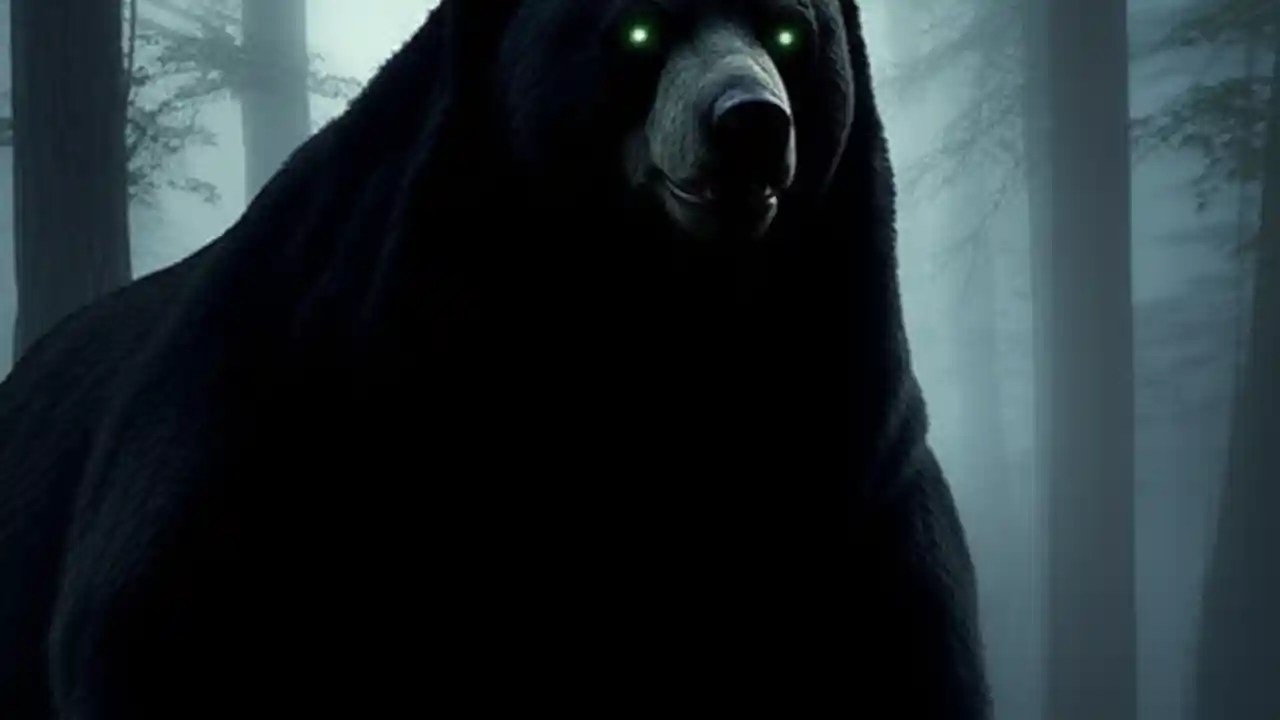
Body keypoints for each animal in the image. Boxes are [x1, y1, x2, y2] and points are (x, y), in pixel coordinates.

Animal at [0, 0, 990, 717]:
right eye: (638, 27)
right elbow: (154, 620)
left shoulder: (851, 472)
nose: (749, 123)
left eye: (790, 28)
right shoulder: (270, 427)